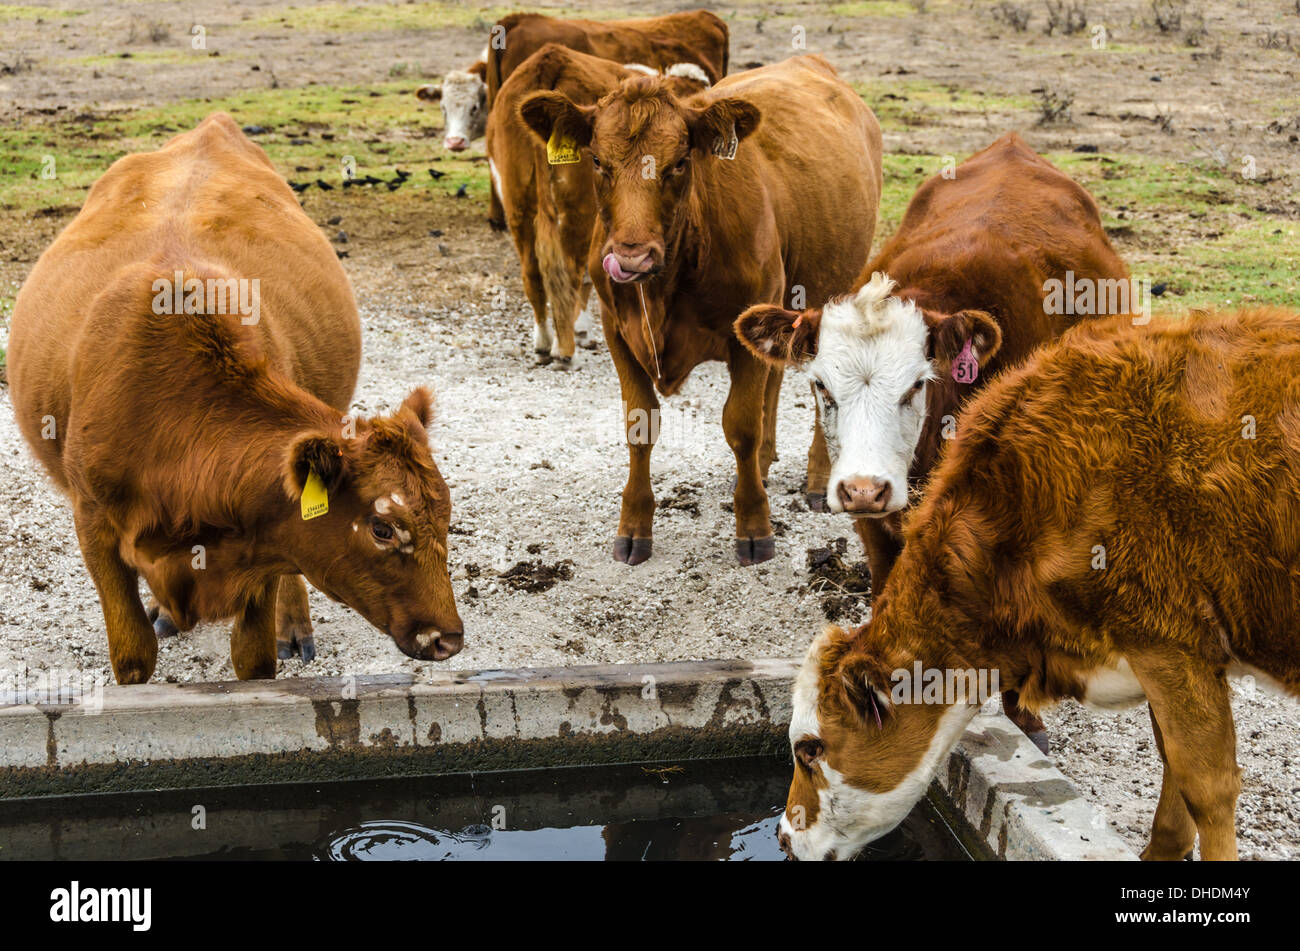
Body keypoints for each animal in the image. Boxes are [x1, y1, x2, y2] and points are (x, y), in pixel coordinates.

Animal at [7, 113, 465, 685]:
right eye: (382, 528)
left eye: (446, 516)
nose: (447, 638)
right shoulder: (95, 528)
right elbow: (133, 658)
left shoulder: (262, 544)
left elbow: (255, 659)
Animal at [488, 45, 710, 367]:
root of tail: (550, 60)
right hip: (577, 207)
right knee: (569, 269)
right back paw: (564, 349)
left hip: (517, 200)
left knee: (532, 269)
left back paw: (544, 343)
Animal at [519, 55, 882, 566]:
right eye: (597, 161)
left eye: (679, 162)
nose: (632, 257)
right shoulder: (617, 331)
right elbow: (640, 425)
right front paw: (634, 527)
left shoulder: (739, 332)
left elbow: (741, 425)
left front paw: (754, 528)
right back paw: (763, 464)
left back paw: (817, 477)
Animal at [777, 305, 1300, 861]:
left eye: (810, 749)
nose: (783, 834)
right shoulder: (1170, 655)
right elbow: (1173, 774)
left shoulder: (1170, 643)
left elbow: (1208, 788)